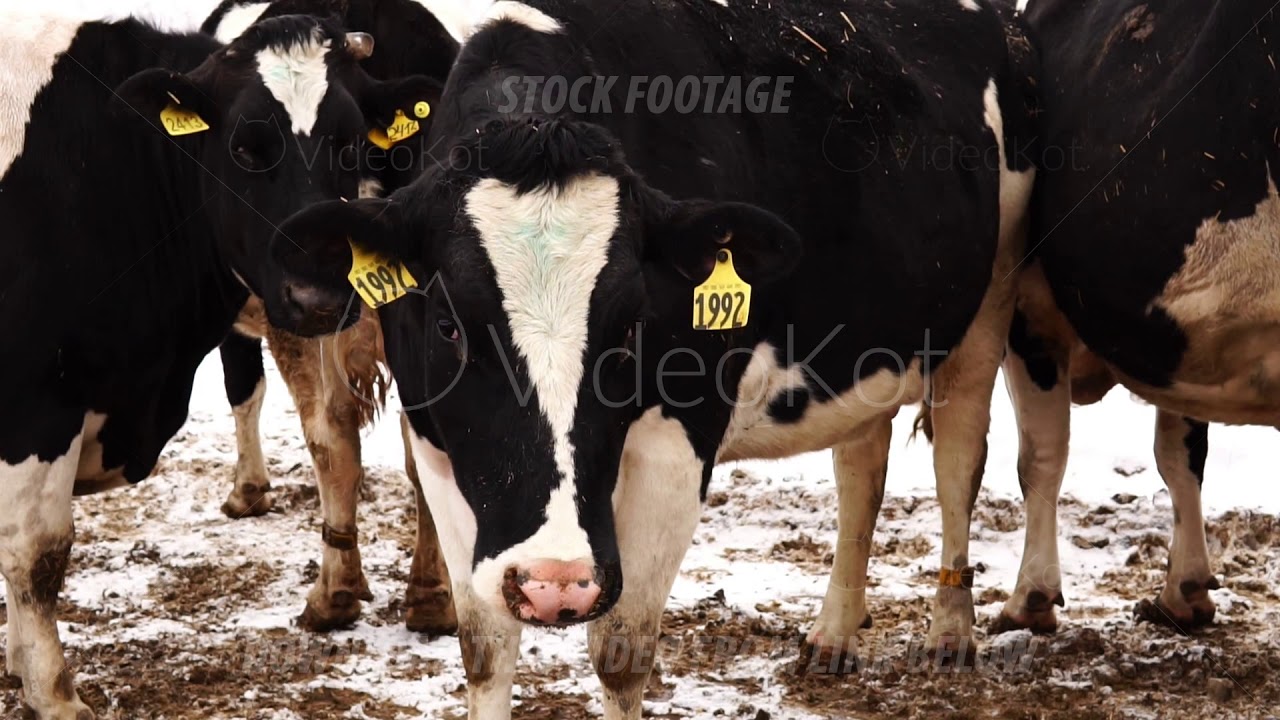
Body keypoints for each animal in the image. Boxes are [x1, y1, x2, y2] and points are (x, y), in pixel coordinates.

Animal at [0, 11, 434, 718]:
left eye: (350, 146)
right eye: (245, 150)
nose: (318, 295)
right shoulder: (36, 403)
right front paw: (54, 694)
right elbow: (37, 555)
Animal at [262, 0, 1039, 715]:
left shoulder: (676, 446)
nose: (554, 581)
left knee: (959, 463)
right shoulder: (438, 442)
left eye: (631, 324)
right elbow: (486, 648)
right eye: (450, 325)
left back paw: (951, 632)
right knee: (861, 468)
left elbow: (620, 650)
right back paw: (834, 633)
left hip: (987, 314)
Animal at [991, 0, 1276, 637]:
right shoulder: (1187, 344)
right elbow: (1181, 453)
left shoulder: (1028, 305)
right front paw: (1185, 590)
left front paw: (1030, 597)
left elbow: (1040, 456)